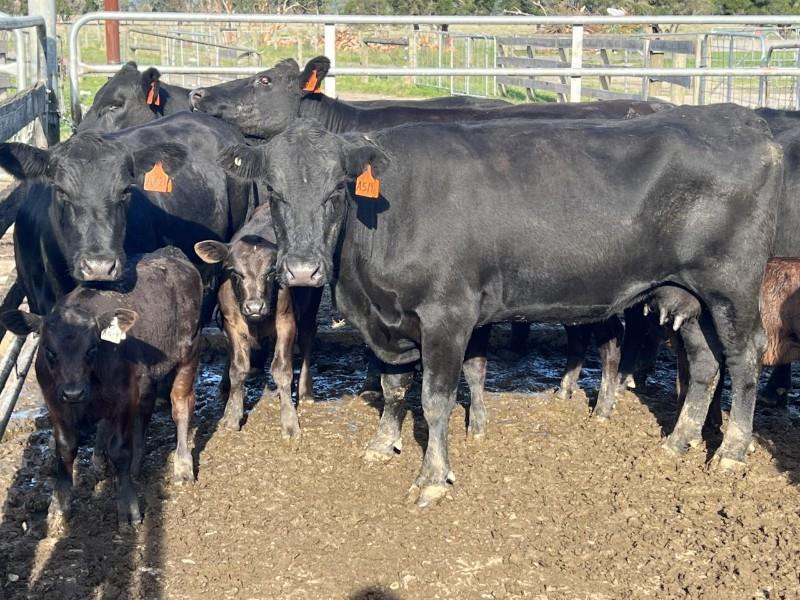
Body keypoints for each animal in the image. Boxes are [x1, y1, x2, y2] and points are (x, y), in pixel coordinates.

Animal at [0, 247, 202, 529]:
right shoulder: (55, 402)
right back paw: (136, 465)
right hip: (146, 377)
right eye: (49, 351)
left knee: (180, 405)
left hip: (189, 352)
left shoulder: (123, 398)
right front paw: (58, 506)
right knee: (144, 411)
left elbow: (119, 449)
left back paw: (182, 465)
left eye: (92, 348)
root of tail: (171, 253)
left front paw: (128, 507)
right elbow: (65, 447)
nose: (73, 392)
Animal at [194, 204, 320, 436]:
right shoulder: (232, 323)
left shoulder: (286, 321)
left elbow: (281, 369)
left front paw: (289, 421)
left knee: (307, 335)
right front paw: (232, 415)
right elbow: (238, 368)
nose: (254, 307)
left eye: (271, 272)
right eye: (235, 272)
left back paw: (306, 391)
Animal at [217, 109, 781, 507]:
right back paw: (679, 441)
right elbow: (393, 387)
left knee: (745, 357)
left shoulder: (447, 316)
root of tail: (743, 120)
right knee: (706, 362)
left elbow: (435, 399)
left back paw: (732, 451)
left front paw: (432, 478)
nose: (301, 271)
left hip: (732, 288)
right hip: (689, 297)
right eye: (273, 190)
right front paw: (382, 445)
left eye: (337, 188)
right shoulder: (384, 322)